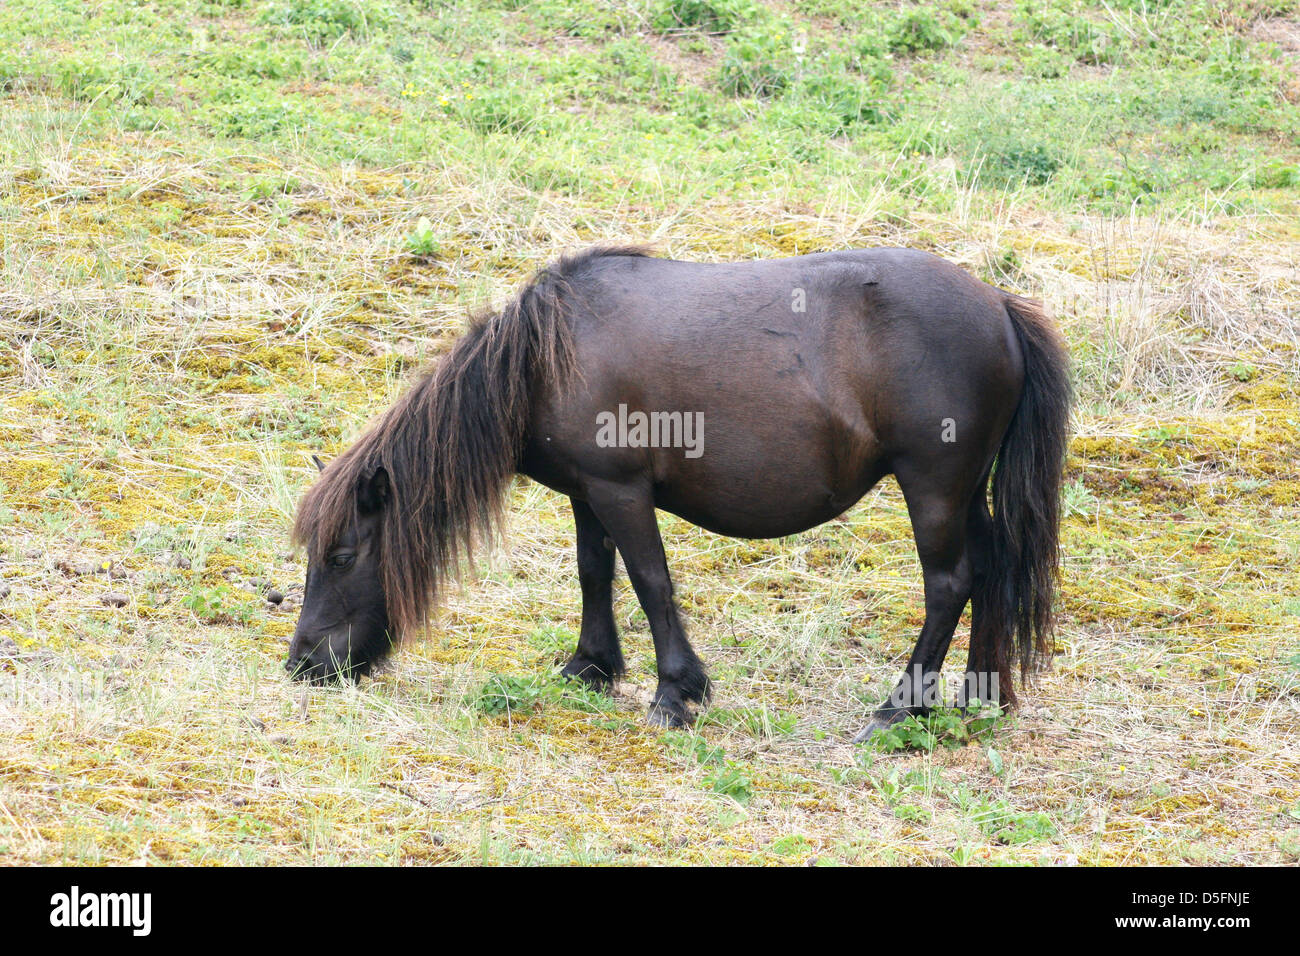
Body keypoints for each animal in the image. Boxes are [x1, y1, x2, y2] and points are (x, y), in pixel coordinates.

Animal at [287, 244, 1070, 741]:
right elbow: (594, 572)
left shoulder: (622, 492)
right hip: (966, 495)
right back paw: (979, 693)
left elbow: (650, 582)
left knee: (949, 584)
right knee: (990, 574)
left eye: (343, 556)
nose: (303, 665)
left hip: (933, 489)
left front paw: (675, 693)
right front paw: (591, 667)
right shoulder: (587, 494)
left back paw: (898, 708)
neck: (548, 356)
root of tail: (1000, 305)